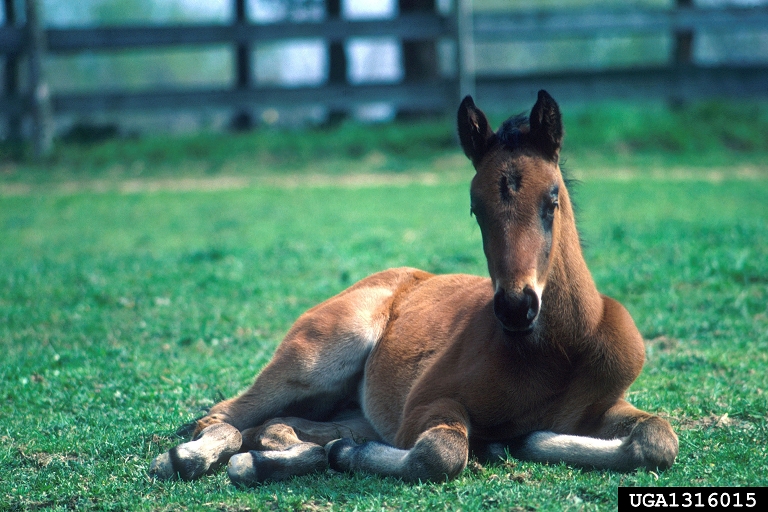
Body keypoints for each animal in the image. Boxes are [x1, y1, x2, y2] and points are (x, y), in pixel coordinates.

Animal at [150, 90, 678, 485]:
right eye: (475, 209)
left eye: (552, 201)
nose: (515, 307)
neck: (557, 351)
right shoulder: (423, 404)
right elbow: (442, 452)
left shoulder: (605, 404)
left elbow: (658, 438)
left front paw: (525, 440)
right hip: (320, 355)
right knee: (224, 416)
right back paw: (185, 458)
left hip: (348, 408)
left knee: (276, 428)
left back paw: (263, 460)